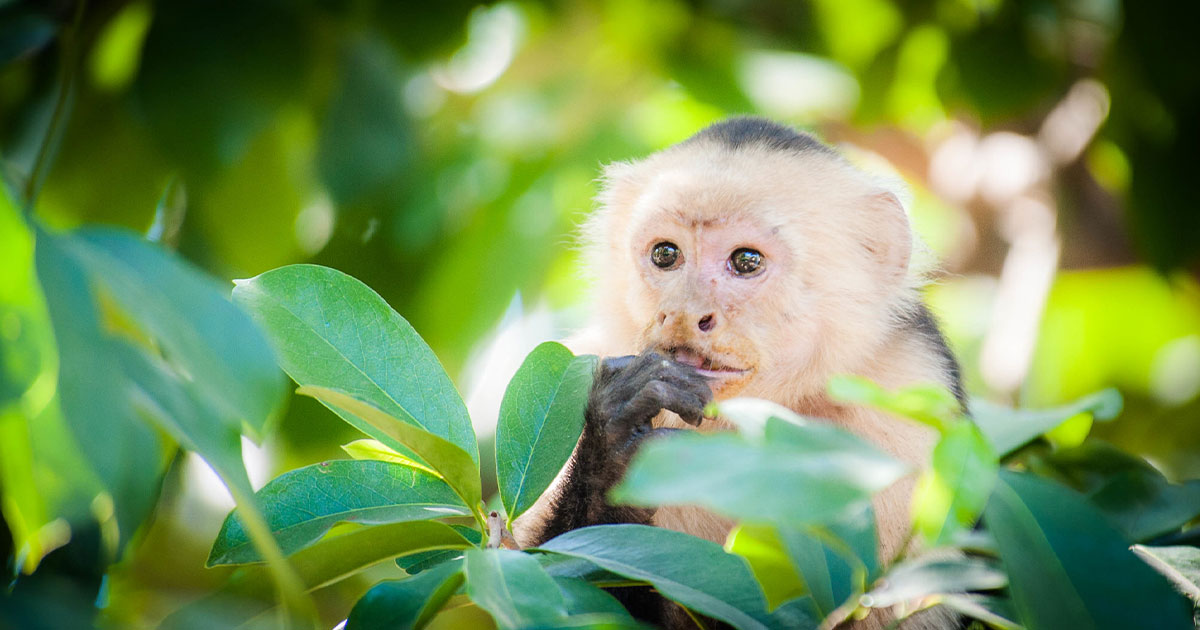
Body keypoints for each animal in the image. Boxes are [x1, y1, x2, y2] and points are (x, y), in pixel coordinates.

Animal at [514, 117, 966, 629]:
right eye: (666, 254)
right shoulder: (585, 362)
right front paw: (617, 440)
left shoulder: (907, 405)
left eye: (746, 261)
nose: (684, 314)